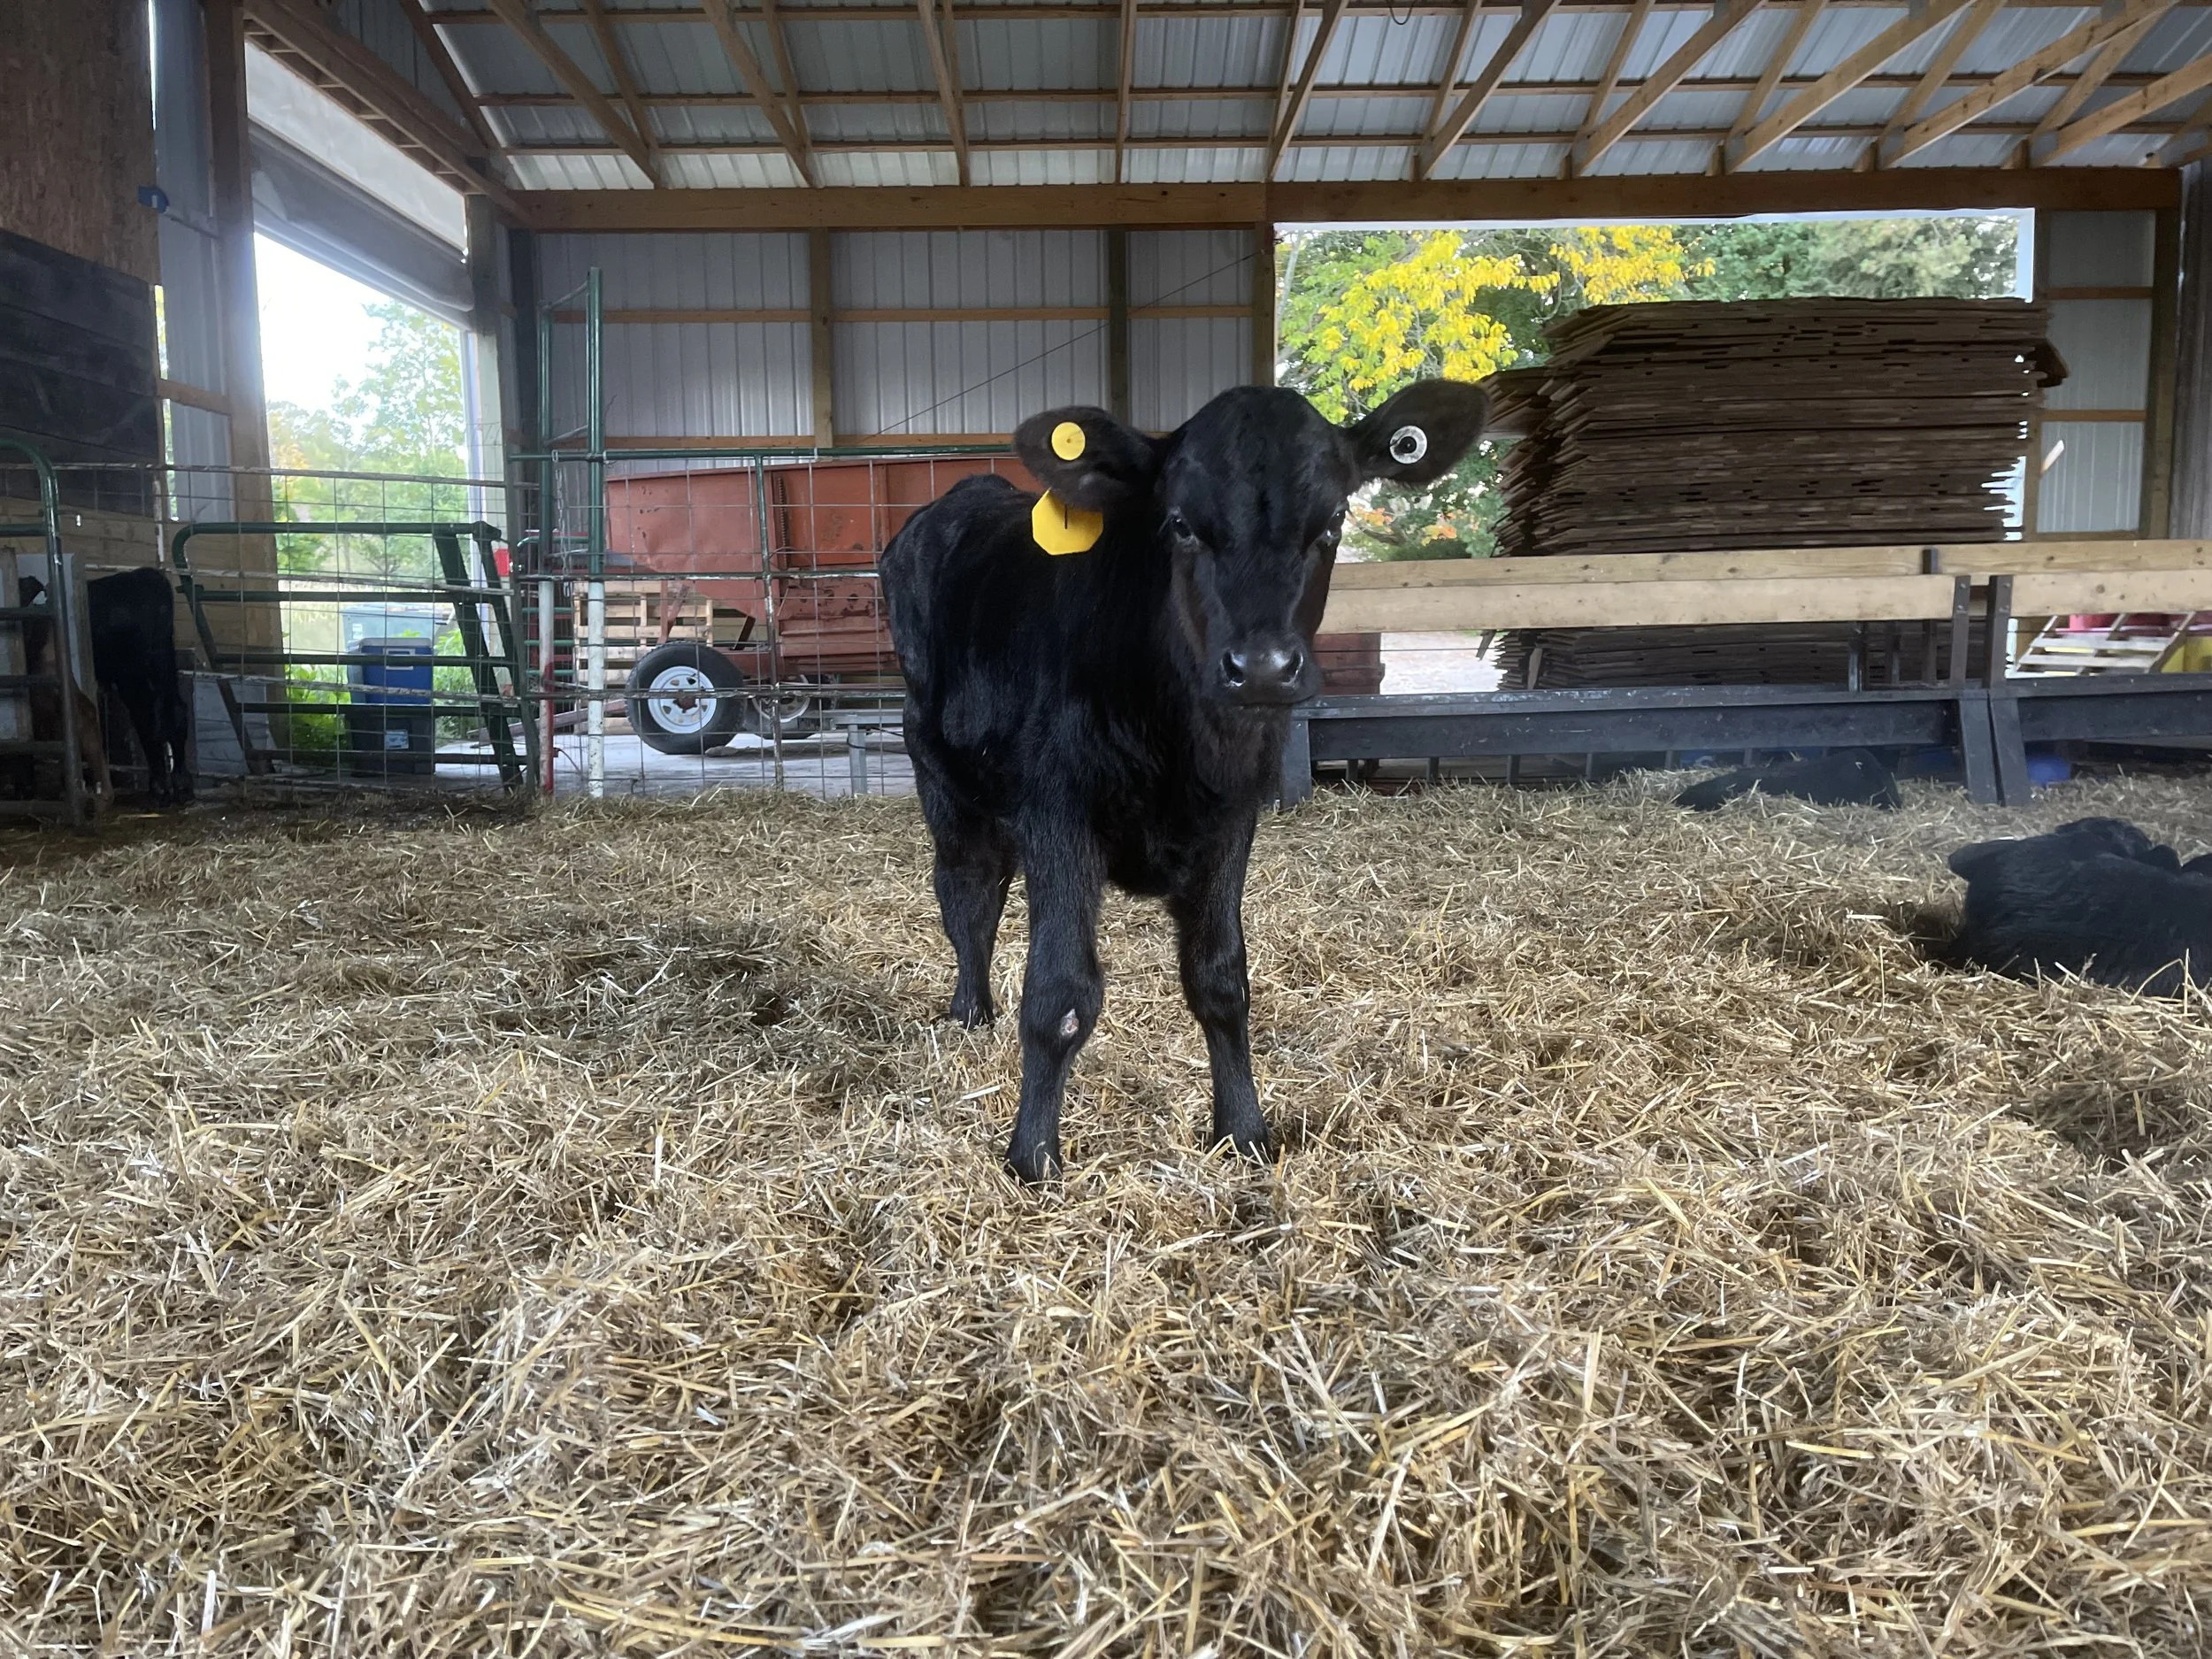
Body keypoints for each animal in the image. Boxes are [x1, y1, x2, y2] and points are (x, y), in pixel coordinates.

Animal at [19, 567, 193, 805]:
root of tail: (145, 577)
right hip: (161, 664)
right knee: (172, 712)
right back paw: (180, 784)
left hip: (132, 674)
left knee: (147, 718)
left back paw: (159, 787)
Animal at [881, 380, 1490, 1180]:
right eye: (1179, 524)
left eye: (1332, 522)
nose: (1261, 667)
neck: (1180, 742)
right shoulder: (1057, 811)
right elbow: (1058, 994)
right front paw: (1032, 1156)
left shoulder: (1232, 819)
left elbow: (1221, 979)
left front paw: (1245, 1130)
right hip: (937, 771)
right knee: (967, 895)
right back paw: (969, 1011)